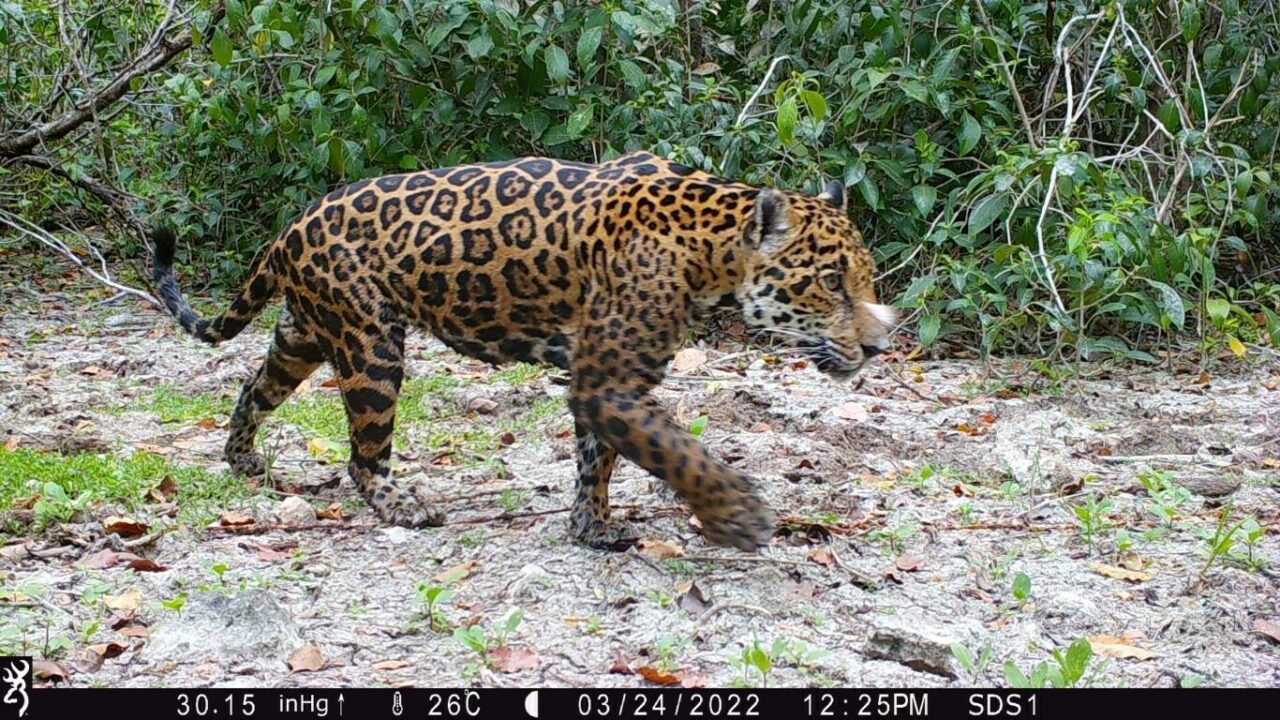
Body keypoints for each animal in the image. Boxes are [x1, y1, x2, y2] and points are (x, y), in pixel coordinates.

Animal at [151, 151, 897, 551]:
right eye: (831, 282)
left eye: (863, 279)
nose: (878, 344)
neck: (711, 249)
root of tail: (291, 226)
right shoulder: (608, 382)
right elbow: (678, 451)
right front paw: (736, 516)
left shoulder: (605, 378)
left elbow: (600, 458)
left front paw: (592, 528)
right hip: (370, 343)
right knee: (363, 455)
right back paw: (401, 505)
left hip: (304, 333)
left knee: (253, 386)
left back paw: (241, 457)